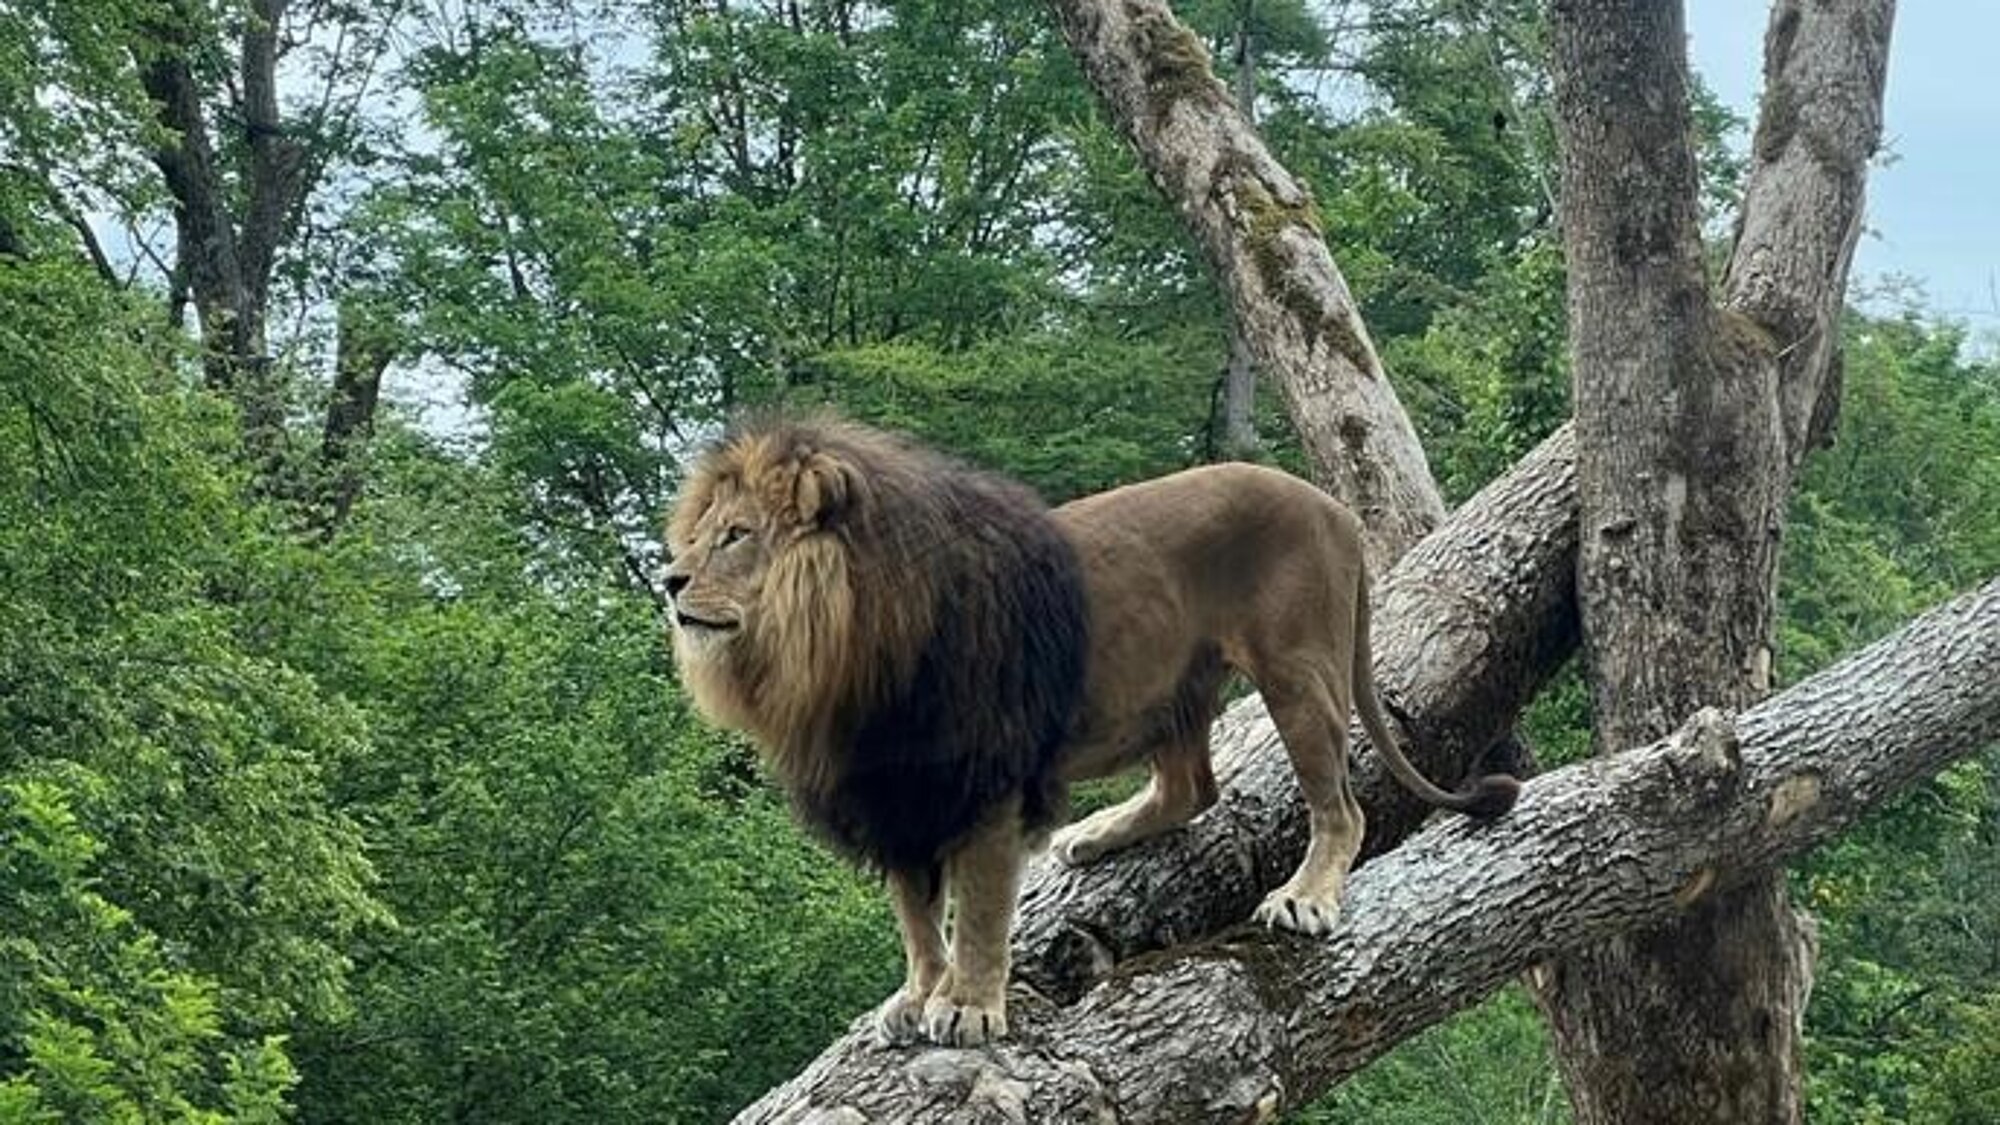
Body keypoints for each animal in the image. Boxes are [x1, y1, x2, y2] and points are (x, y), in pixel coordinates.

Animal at [663, 415, 1519, 1048]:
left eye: (736, 534)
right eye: (698, 535)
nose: (668, 579)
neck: (838, 654)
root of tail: (1331, 507)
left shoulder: (985, 780)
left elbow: (978, 909)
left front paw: (968, 1004)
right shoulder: (897, 793)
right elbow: (916, 916)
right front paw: (918, 993)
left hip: (1296, 669)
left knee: (1339, 806)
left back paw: (1305, 896)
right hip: (1171, 677)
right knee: (1190, 786)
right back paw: (1096, 834)